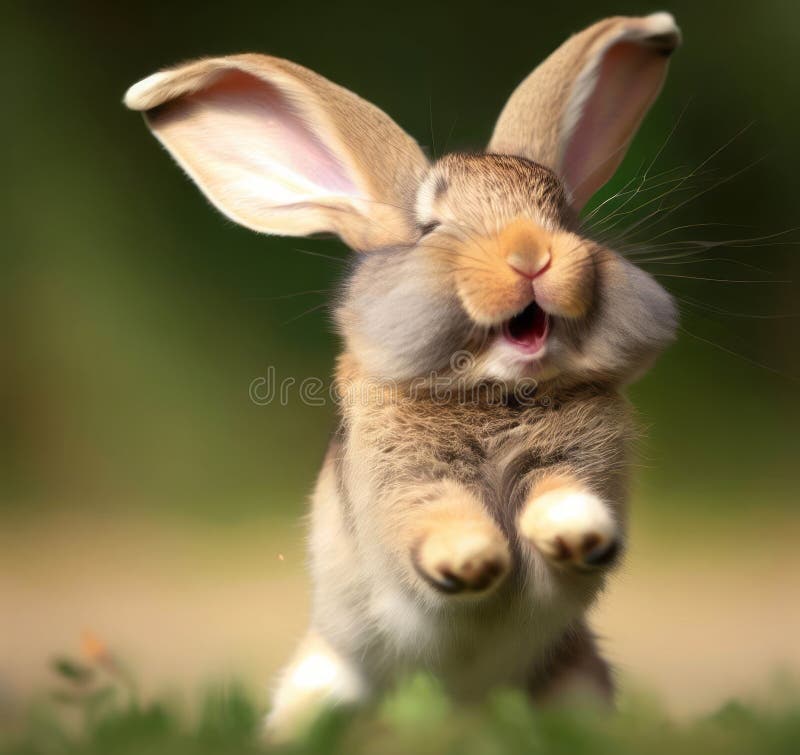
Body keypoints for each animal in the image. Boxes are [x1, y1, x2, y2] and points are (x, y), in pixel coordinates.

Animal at [125, 12, 681, 740]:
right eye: (432, 228)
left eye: (565, 216)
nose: (532, 253)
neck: (491, 389)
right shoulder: (404, 486)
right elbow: (435, 514)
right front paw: (470, 560)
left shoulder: (582, 464)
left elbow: (565, 492)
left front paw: (579, 534)